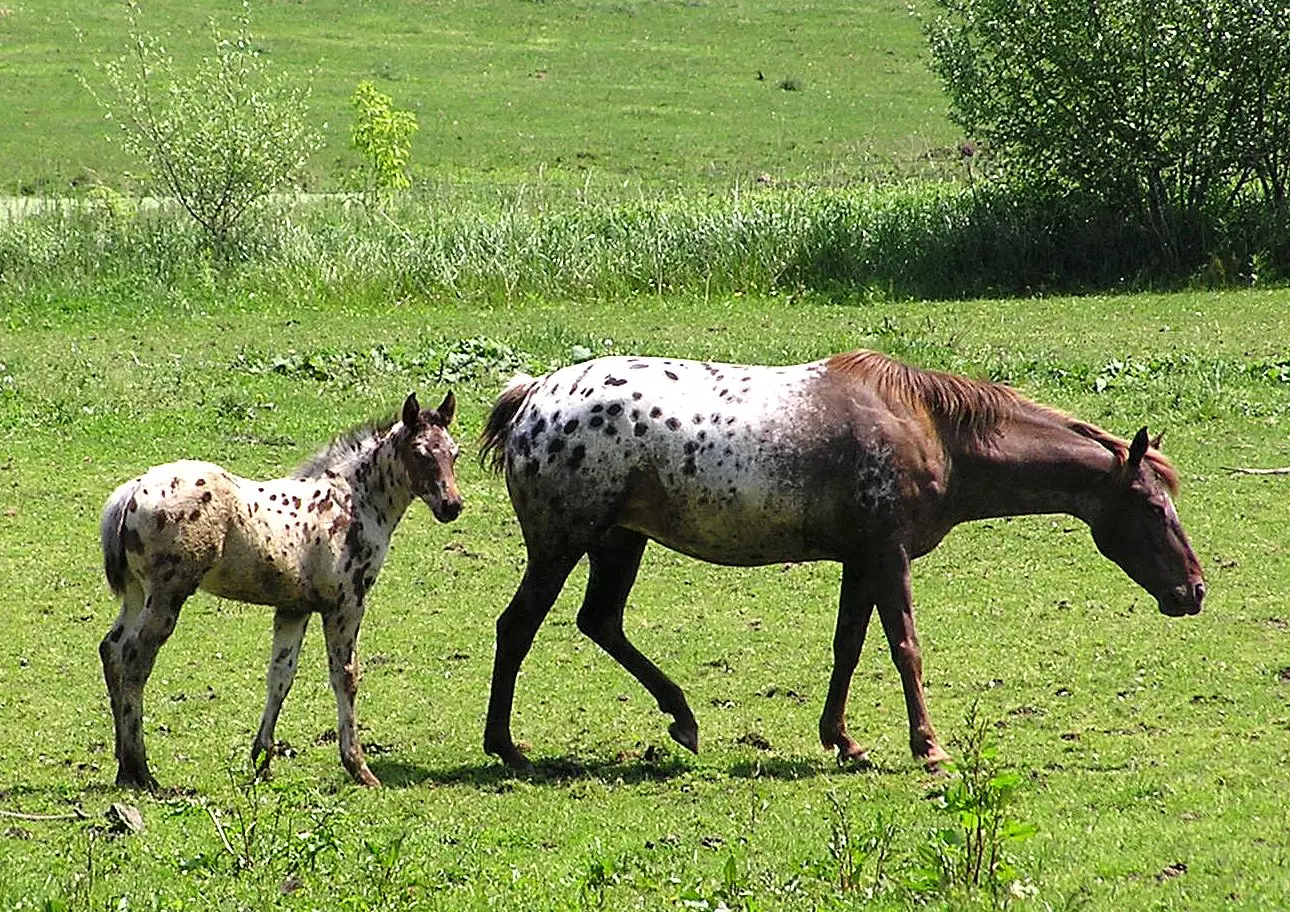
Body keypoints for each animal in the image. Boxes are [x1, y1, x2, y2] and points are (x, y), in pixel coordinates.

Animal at [100, 392, 464, 789]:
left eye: (454, 453)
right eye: (419, 453)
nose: (452, 506)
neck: (352, 503)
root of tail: (133, 489)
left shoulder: (294, 608)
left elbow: (280, 675)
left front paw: (262, 760)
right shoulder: (346, 604)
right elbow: (345, 676)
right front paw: (359, 767)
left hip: (137, 593)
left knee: (111, 649)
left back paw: (123, 767)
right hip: (167, 596)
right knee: (135, 658)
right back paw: (142, 771)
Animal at [479, 350, 1202, 768]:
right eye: (1152, 506)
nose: (1193, 590)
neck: (930, 430)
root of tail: (533, 397)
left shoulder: (862, 559)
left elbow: (849, 645)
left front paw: (843, 740)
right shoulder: (888, 553)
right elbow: (905, 647)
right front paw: (928, 747)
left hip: (619, 540)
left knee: (600, 622)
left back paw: (682, 719)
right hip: (562, 542)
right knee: (517, 628)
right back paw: (507, 748)